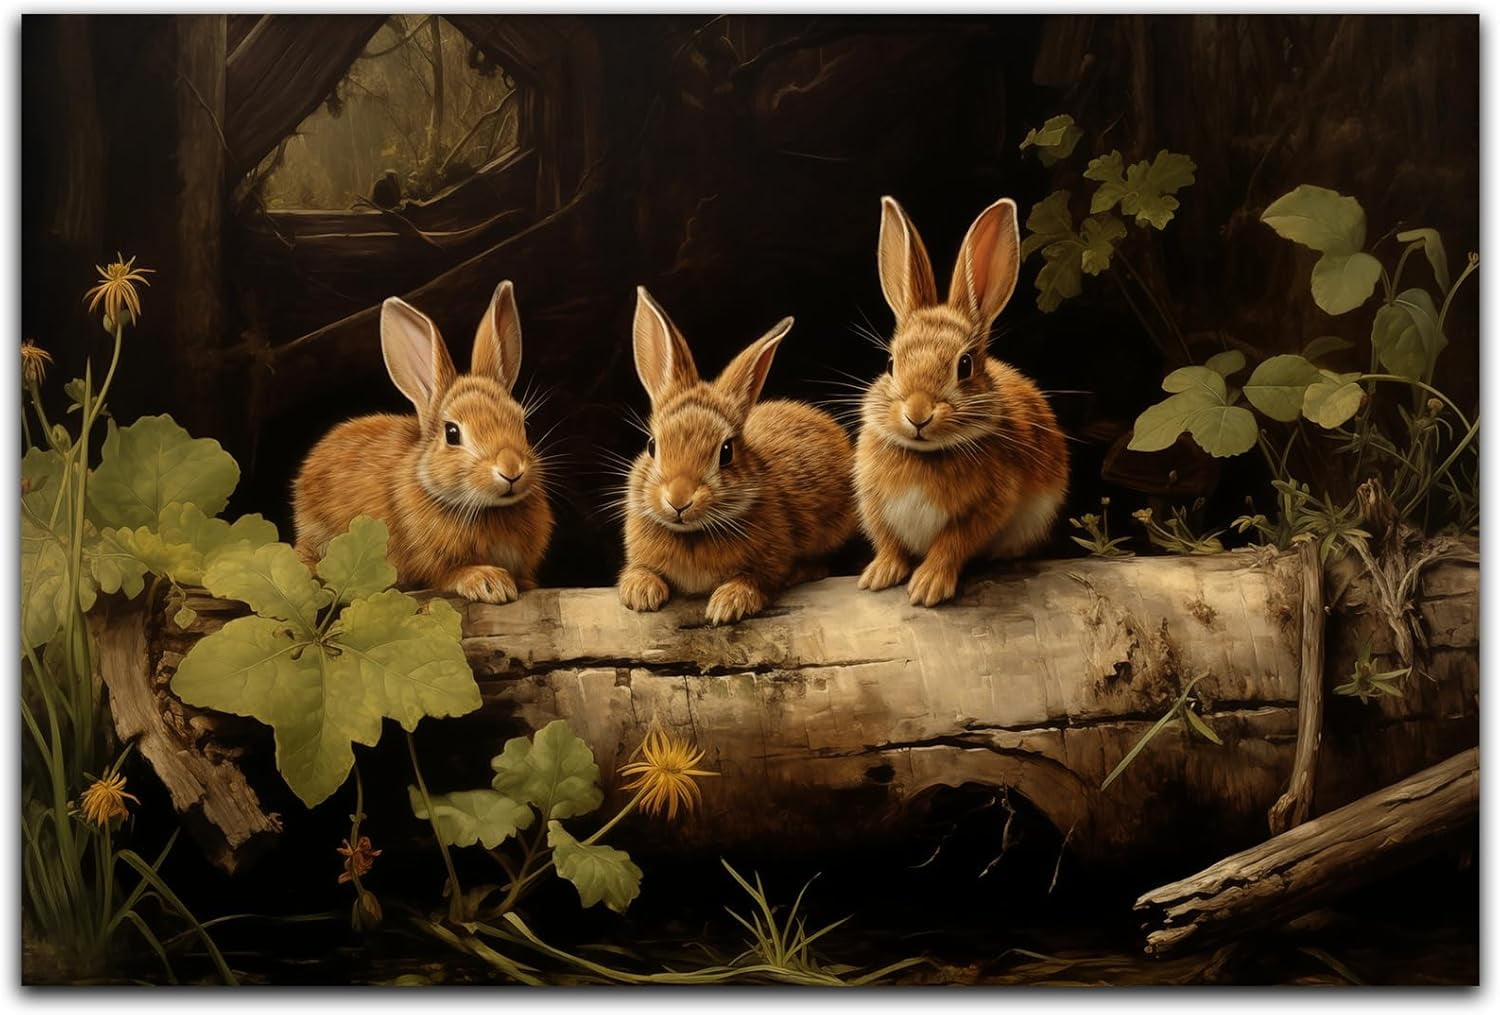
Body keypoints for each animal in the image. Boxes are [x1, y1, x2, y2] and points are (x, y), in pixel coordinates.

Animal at [293, 281, 554, 604]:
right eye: (452, 433)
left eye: (523, 424)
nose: (511, 469)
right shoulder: (430, 563)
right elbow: (447, 575)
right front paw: (489, 583)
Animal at [618, 287, 856, 625]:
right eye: (652, 445)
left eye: (726, 452)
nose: (678, 499)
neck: (691, 534)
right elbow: (641, 569)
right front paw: (640, 591)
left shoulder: (771, 561)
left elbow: (756, 580)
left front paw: (728, 603)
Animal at [854, 195, 1069, 607]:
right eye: (890, 364)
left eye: (965, 365)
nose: (917, 413)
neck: (924, 455)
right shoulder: (874, 504)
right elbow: (888, 542)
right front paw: (878, 575)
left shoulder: (986, 508)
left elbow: (951, 544)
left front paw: (927, 587)